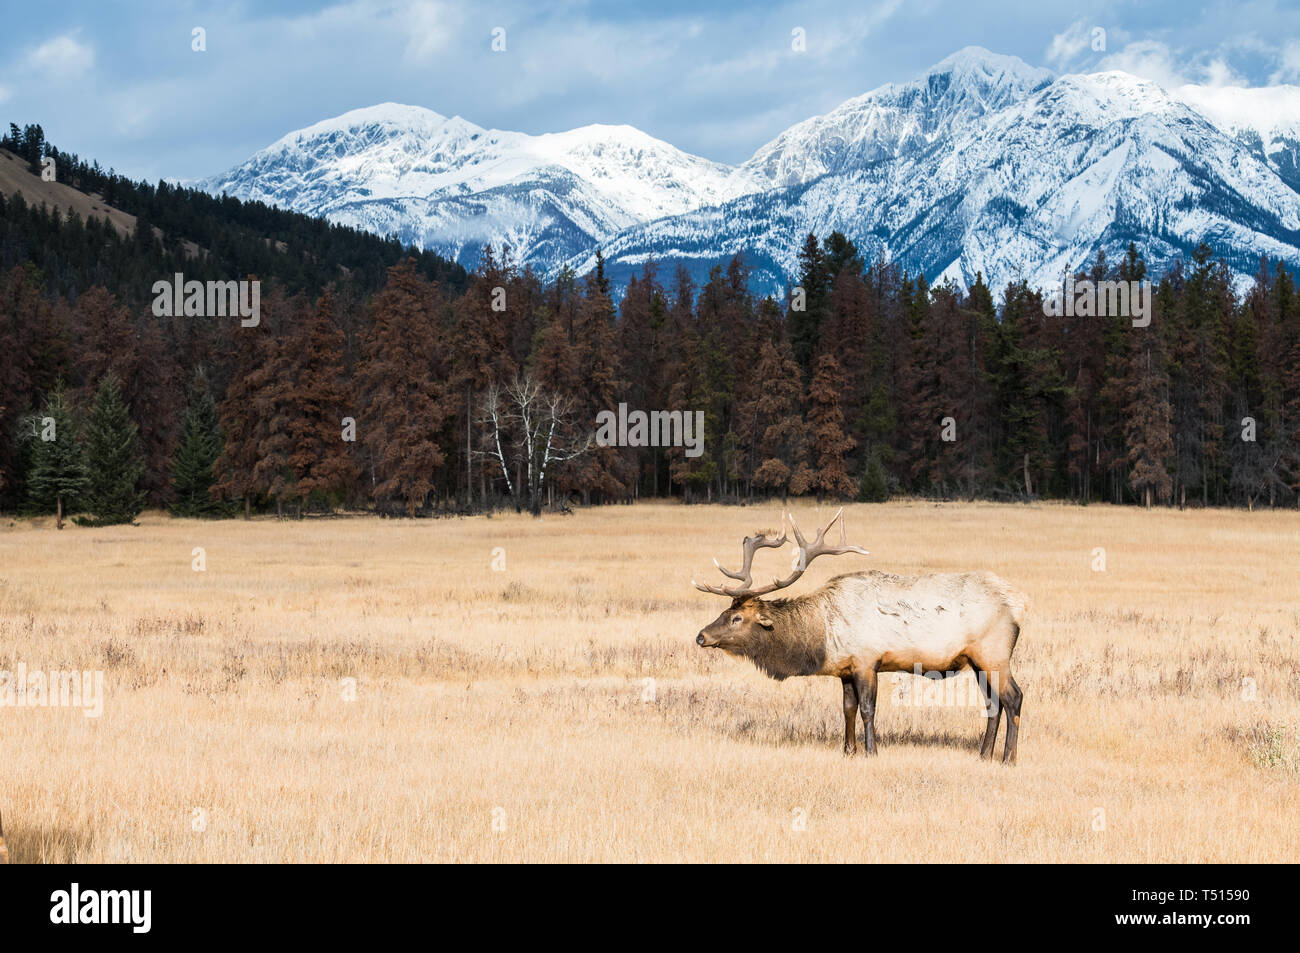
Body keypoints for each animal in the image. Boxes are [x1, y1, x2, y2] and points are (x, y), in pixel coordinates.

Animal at [692, 509, 1027, 763]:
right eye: (724, 611)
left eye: (736, 618)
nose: (701, 636)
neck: (823, 635)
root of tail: (1017, 606)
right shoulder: (845, 669)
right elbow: (848, 709)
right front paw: (848, 750)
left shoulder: (867, 661)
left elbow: (868, 709)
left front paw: (871, 751)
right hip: (976, 660)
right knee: (993, 703)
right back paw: (983, 754)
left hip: (994, 654)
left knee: (1013, 698)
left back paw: (1008, 758)